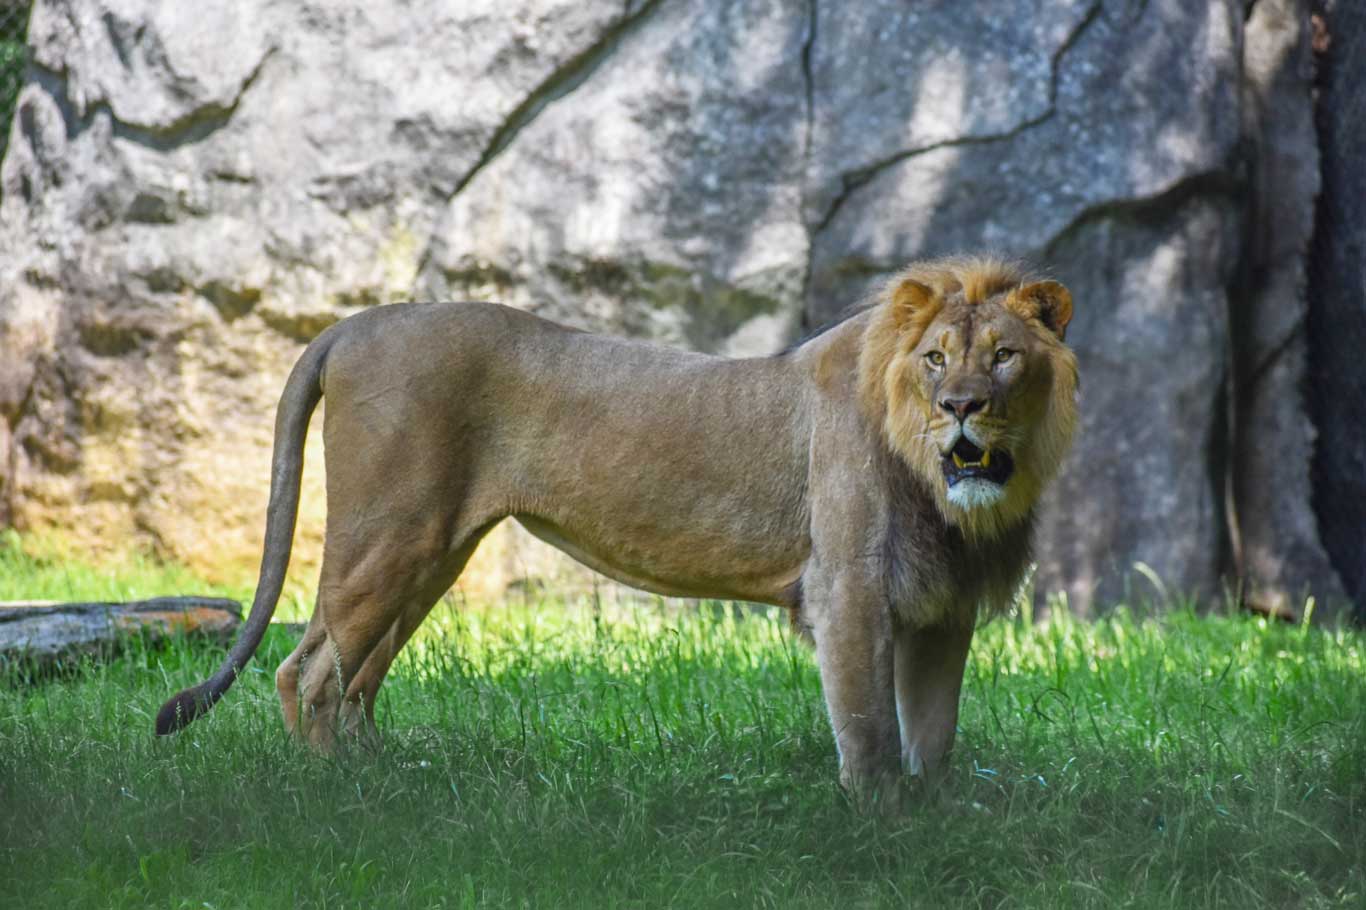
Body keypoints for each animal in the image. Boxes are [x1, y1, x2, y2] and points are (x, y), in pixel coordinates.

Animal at [156, 256, 1078, 799]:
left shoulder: (944, 607)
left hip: (431, 554)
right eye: (935, 359)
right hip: (390, 535)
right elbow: (870, 731)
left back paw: (385, 782)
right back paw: (335, 799)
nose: (962, 408)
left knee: (354, 677)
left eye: (1004, 356)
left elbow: (934, 736)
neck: (945, 496)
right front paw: (879, 827)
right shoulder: (848, 588)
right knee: (306, 672)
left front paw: (934, 821)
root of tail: (355, 323)